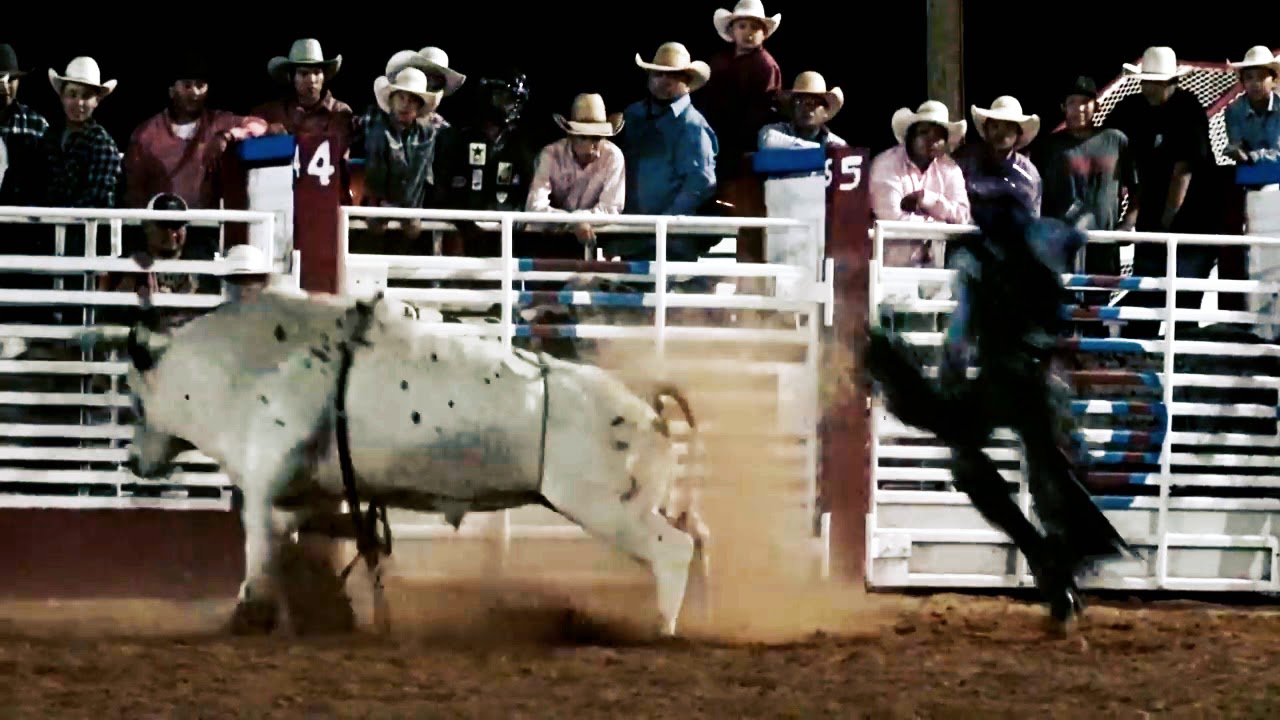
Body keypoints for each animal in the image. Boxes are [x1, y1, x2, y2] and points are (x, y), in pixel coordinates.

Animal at [118, 290, 709, 637]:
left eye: (134, 398)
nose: (134, 459)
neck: (243, 367)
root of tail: (645, 404)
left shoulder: (264, 482)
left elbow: (257, 545)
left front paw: (248, 614)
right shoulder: (311, 491)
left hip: (611, 509)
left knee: (673, 549)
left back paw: (664, 627)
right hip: (642, 502)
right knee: (696, 533)